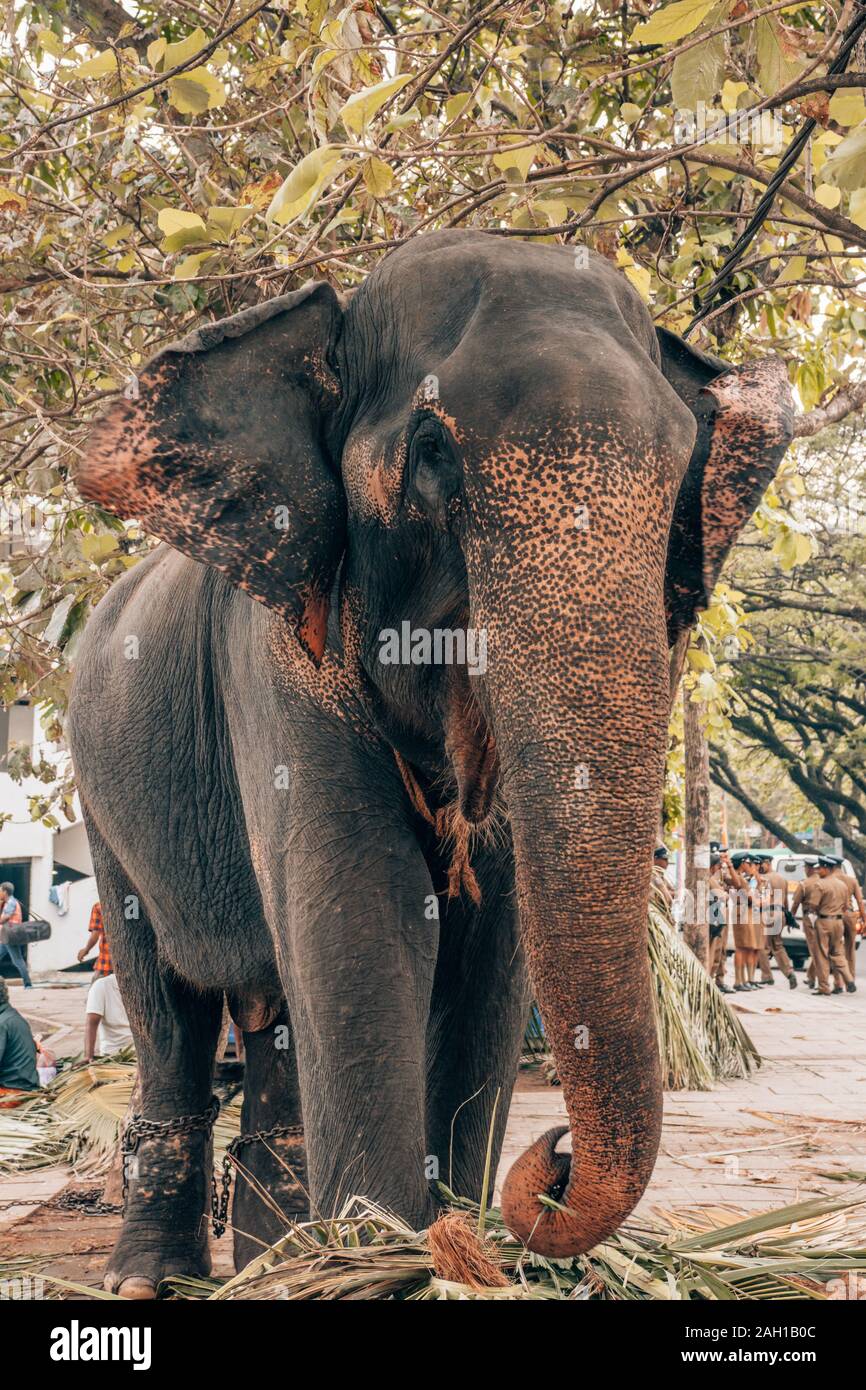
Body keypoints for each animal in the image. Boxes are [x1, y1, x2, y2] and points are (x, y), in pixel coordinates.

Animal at [68, 228, 793, 1297]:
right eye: (432, 452)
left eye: (679, 475)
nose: (554, 1159)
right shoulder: (278, 665)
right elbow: (365, 910)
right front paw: (390, 1257)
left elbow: (496, 945)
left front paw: (443, 1244)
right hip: (103, 801)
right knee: (167, 1003)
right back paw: (157, 1278)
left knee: (274, 1023)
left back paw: (278, 1258)